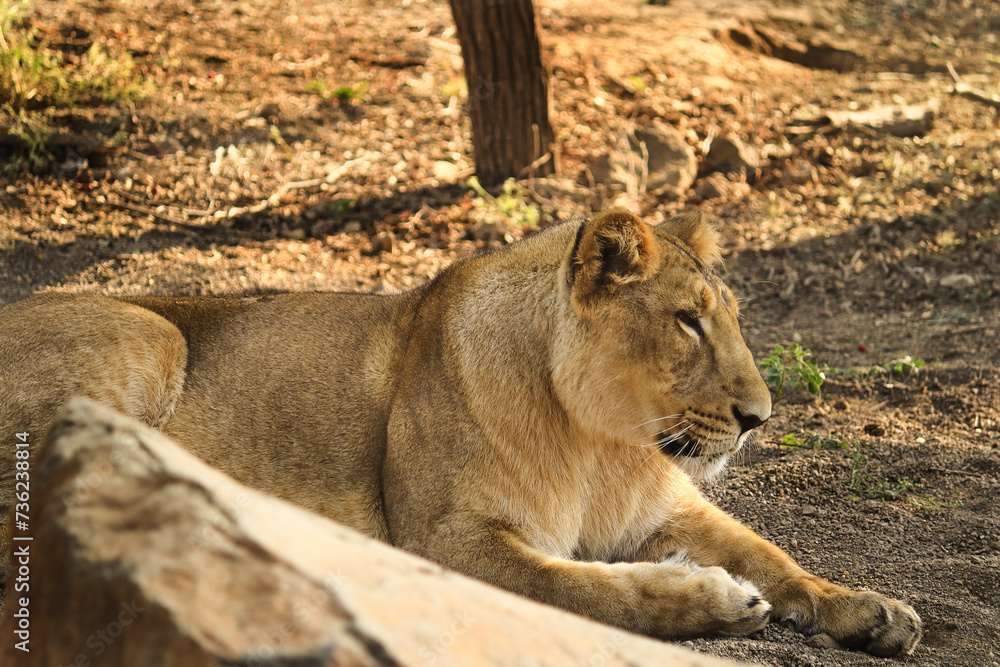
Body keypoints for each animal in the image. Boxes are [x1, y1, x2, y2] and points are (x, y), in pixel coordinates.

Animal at [0, 209, 920, 655]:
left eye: (727, 316)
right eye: (687, 321)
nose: (760, 419)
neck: (601, 440)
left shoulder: (666, 508)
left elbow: (772, 553)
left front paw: (868, 609)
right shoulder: (443, 539)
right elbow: (579, 589)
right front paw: (713, 599)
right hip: (149, 334)